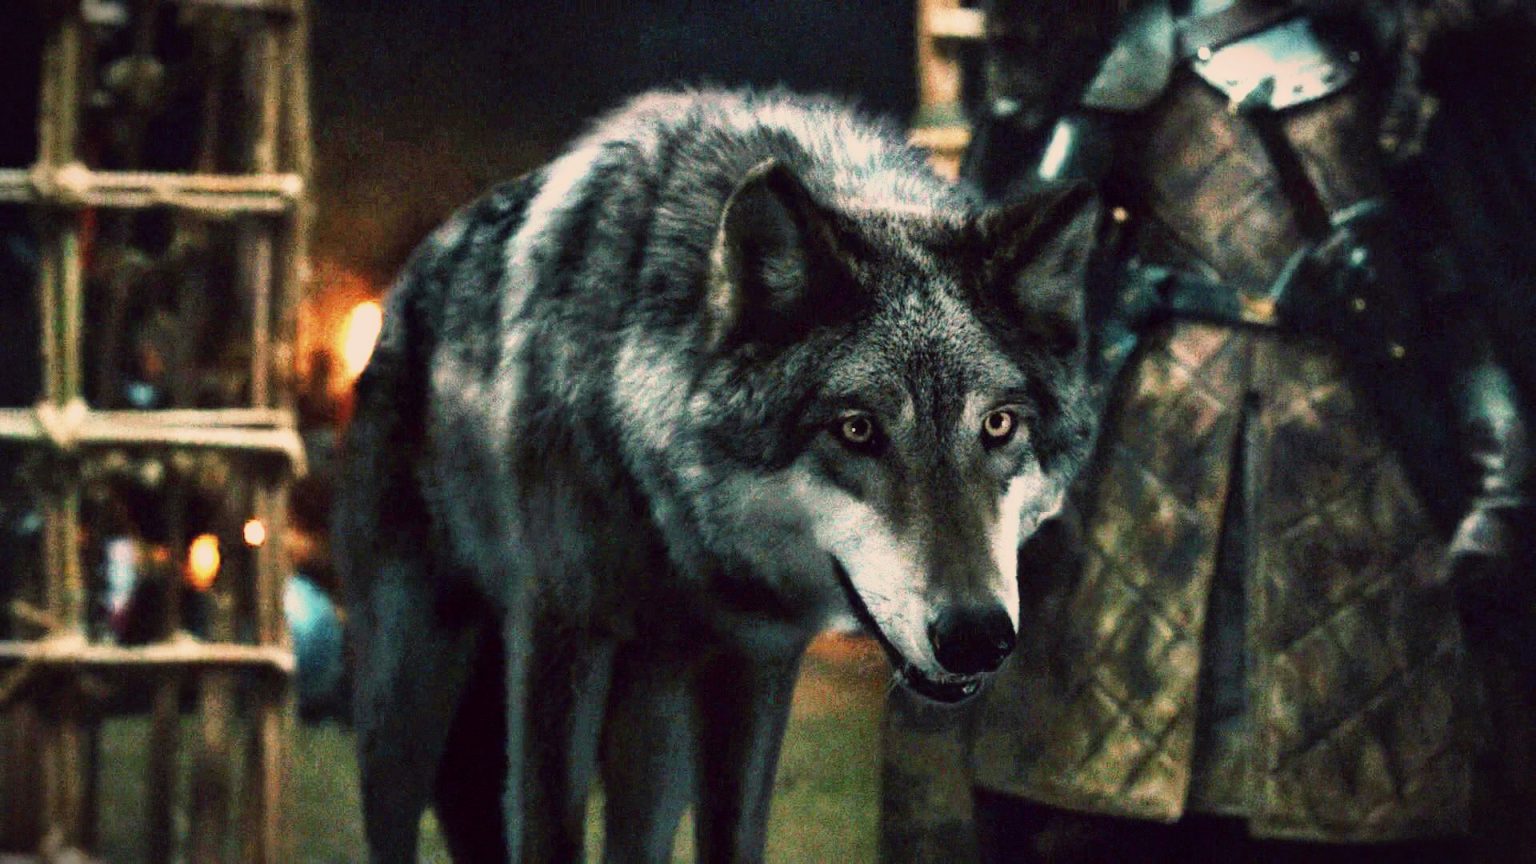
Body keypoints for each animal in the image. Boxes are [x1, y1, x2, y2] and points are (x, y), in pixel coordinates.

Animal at [336, 88, 1098, 863]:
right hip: (403, 706)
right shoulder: (556, 645)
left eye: (997, 425)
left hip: (656, 734)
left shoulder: (758, 666)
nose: (976, 635)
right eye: (857, 429)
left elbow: (735, 835)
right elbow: (548, 832)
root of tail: (406, 285)